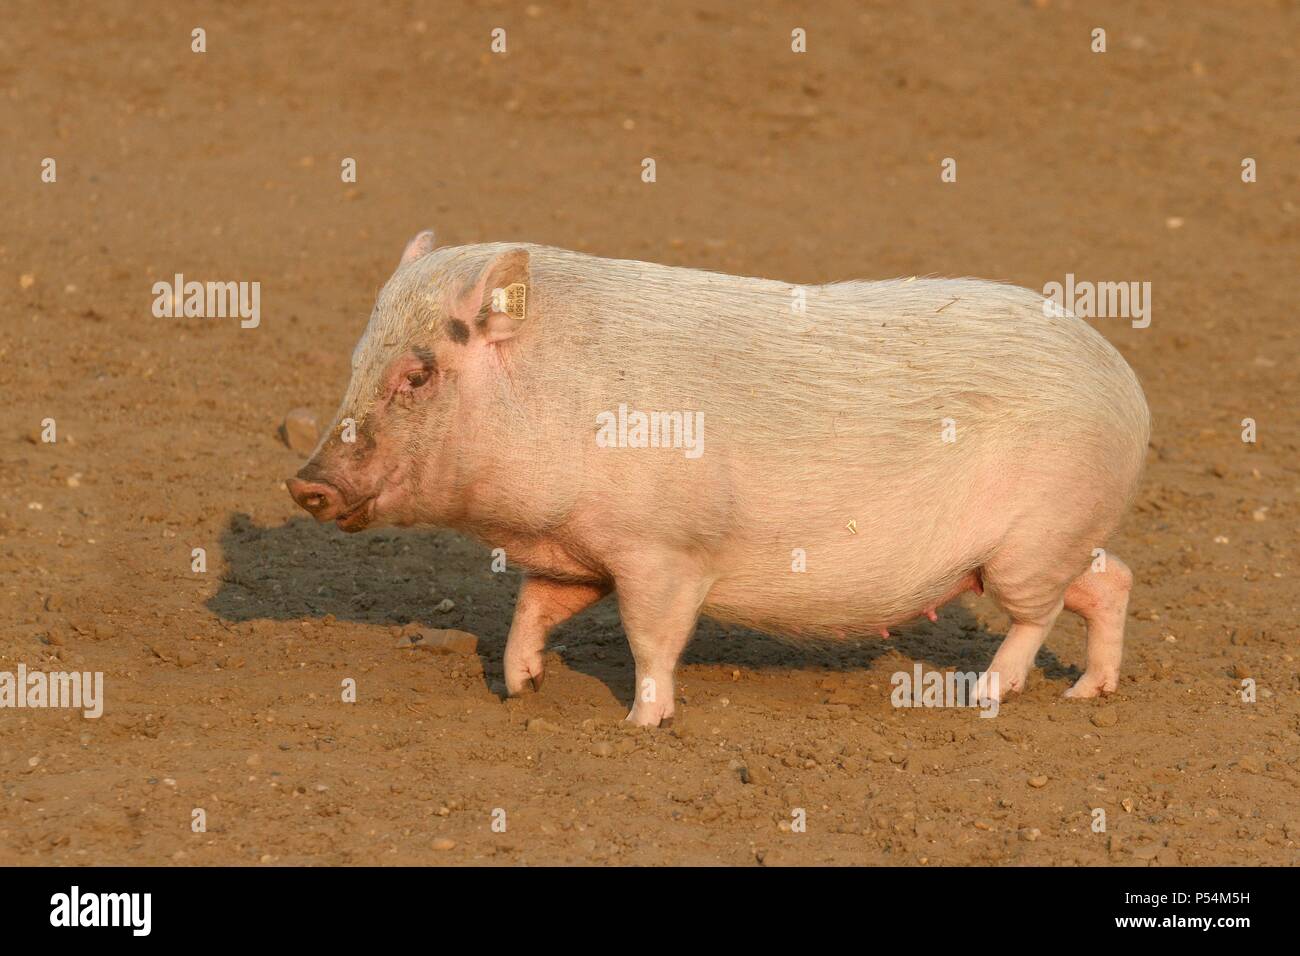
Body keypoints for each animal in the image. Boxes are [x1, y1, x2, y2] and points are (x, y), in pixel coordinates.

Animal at [288, 230, 1150, 726]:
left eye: (417, 374)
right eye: (356, 360)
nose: (305, 484)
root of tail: (1131, 393)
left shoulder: (662, 550)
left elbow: (652, 639)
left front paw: (642, 725)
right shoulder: (576, 552)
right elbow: (532, 608)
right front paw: (518, 689)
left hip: (1031, 539)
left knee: (1041, 615)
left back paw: (986, 699)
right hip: (1042, 546)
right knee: (1112, 579)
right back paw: (1089, 694)